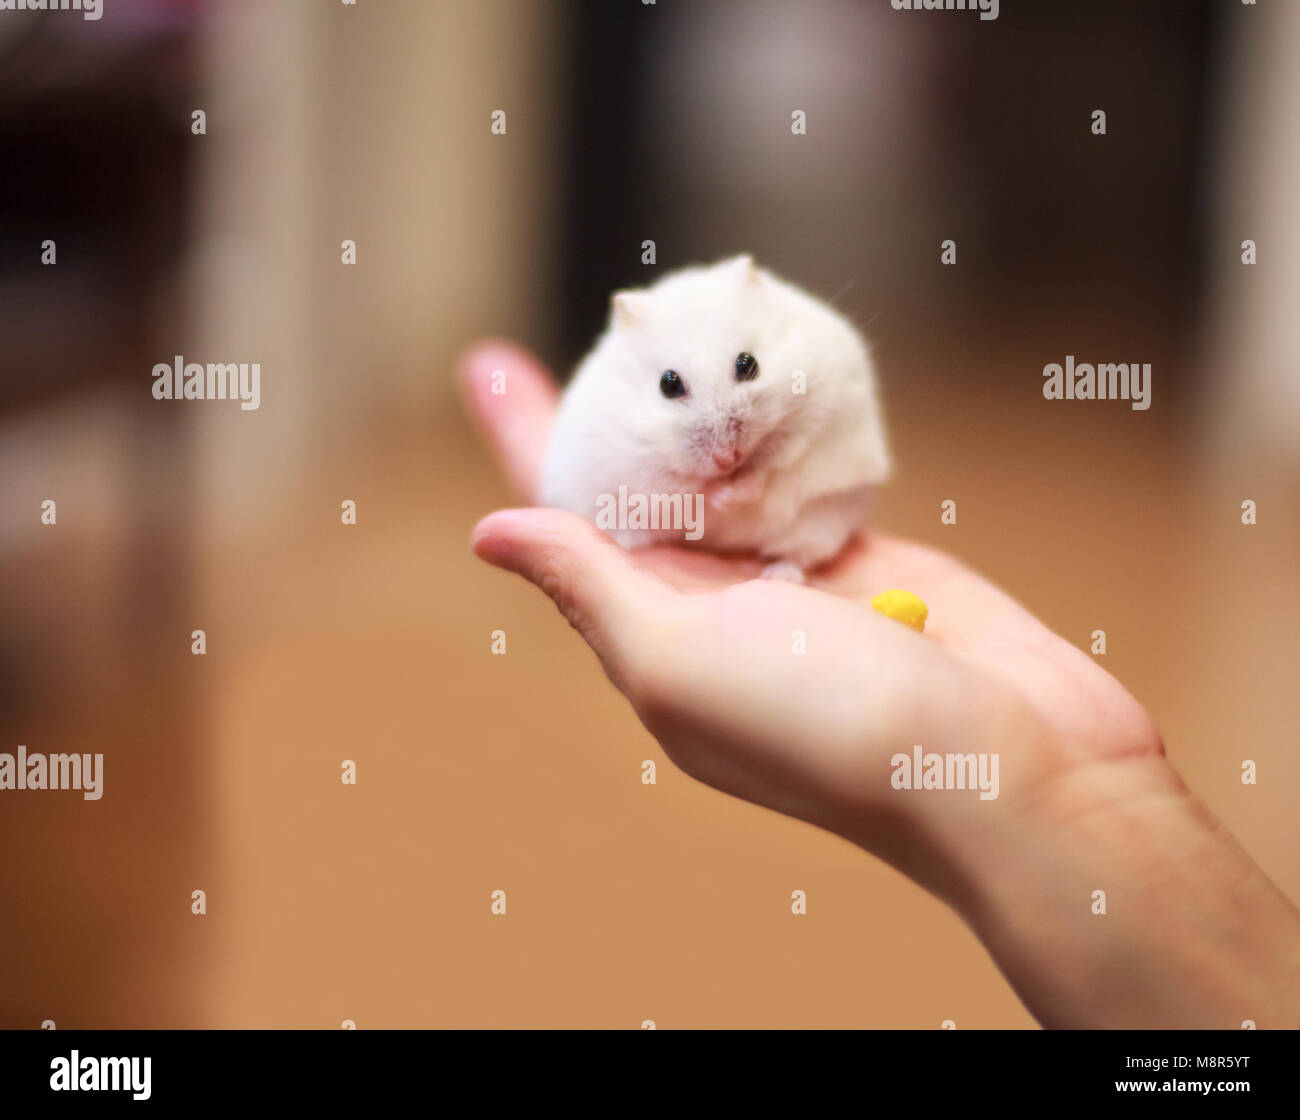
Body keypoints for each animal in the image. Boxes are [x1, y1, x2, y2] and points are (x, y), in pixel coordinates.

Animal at [539, 255, 890, 581]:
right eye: (668, 384)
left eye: (748, 364)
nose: (727, 459)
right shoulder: (633, 465)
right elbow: (688, 489)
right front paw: (720, 496)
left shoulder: (815, 419)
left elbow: (769, 468)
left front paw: (733, 493)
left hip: (821, 525)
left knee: (800, 554)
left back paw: (778, 575)